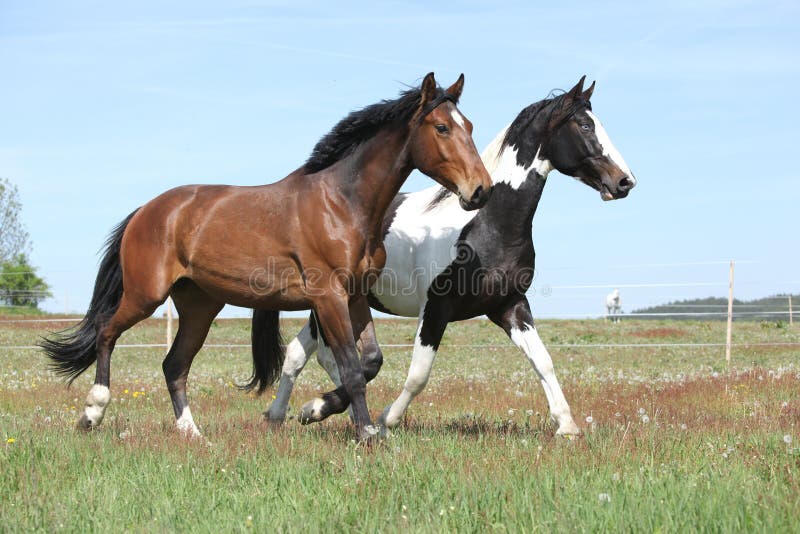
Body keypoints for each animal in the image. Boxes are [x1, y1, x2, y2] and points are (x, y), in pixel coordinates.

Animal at [40, 73, 493, 443]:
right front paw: (364, 433)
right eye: (442, 127)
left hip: (200, 306)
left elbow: (370, 362)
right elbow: (350, 367)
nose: (481, 190)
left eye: (469, 126)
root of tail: (147, 210)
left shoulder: (355, 296)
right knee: (106, 333)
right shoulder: (327, 297)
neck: (341, 202)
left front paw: (315, 409)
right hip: (144, 295)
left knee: (174, 365)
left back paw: (192, 434)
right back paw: (92, 413)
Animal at [259, 76, 636, 435]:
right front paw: (385, 419)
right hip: (331, 302)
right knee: (322, 356)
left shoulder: (509, 305)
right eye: (585, 126)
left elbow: (542, 360)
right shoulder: (437, 307)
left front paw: (567, 425)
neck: (485, 223)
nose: (625, 182)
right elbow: (418, 373)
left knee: (301, 353)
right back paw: (320, 411)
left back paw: (287, 414)